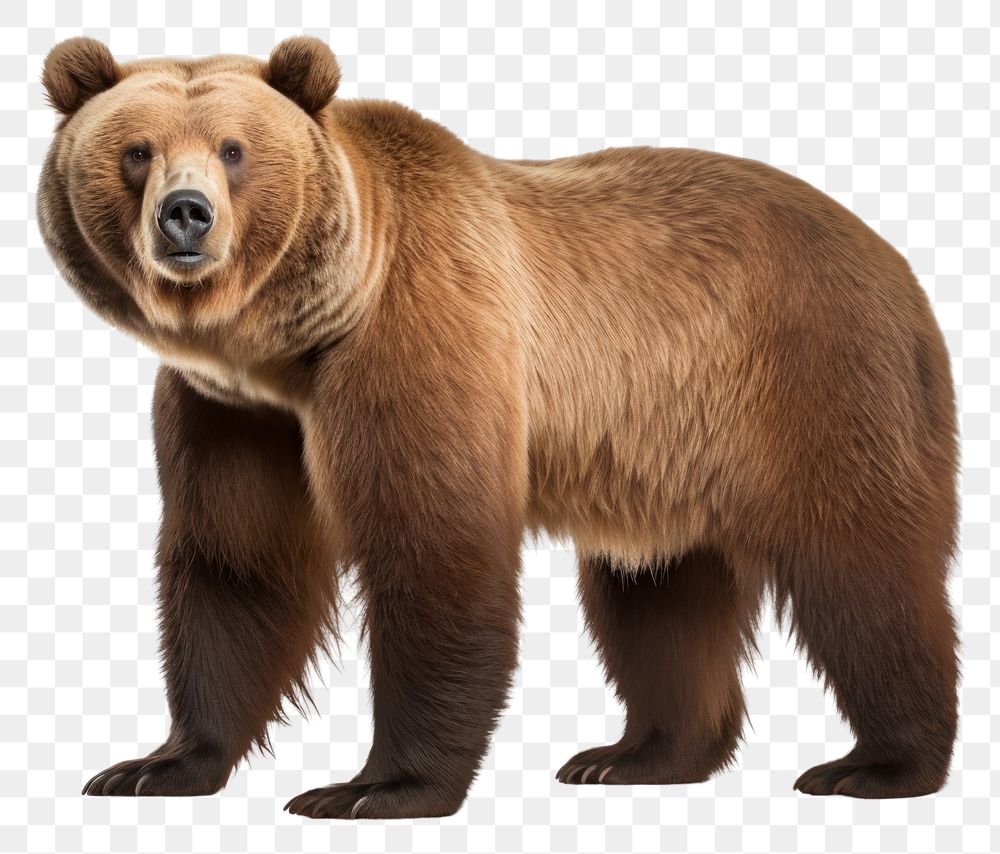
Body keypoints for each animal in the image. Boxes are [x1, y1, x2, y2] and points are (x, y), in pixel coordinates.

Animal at [37, 36, 960, 818]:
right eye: (137, 151)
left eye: (234, 150)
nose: (185, 215)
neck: (290, 346)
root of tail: (899, 265)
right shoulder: (231, 412)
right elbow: (237, 563)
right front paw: (157, 764)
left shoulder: (418, 334)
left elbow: (433, 545)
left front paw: (375, 786)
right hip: (667, 447)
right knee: (658, 596)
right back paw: (636, 754)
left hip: (818, 376)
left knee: (859, 565)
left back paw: (878, 765)